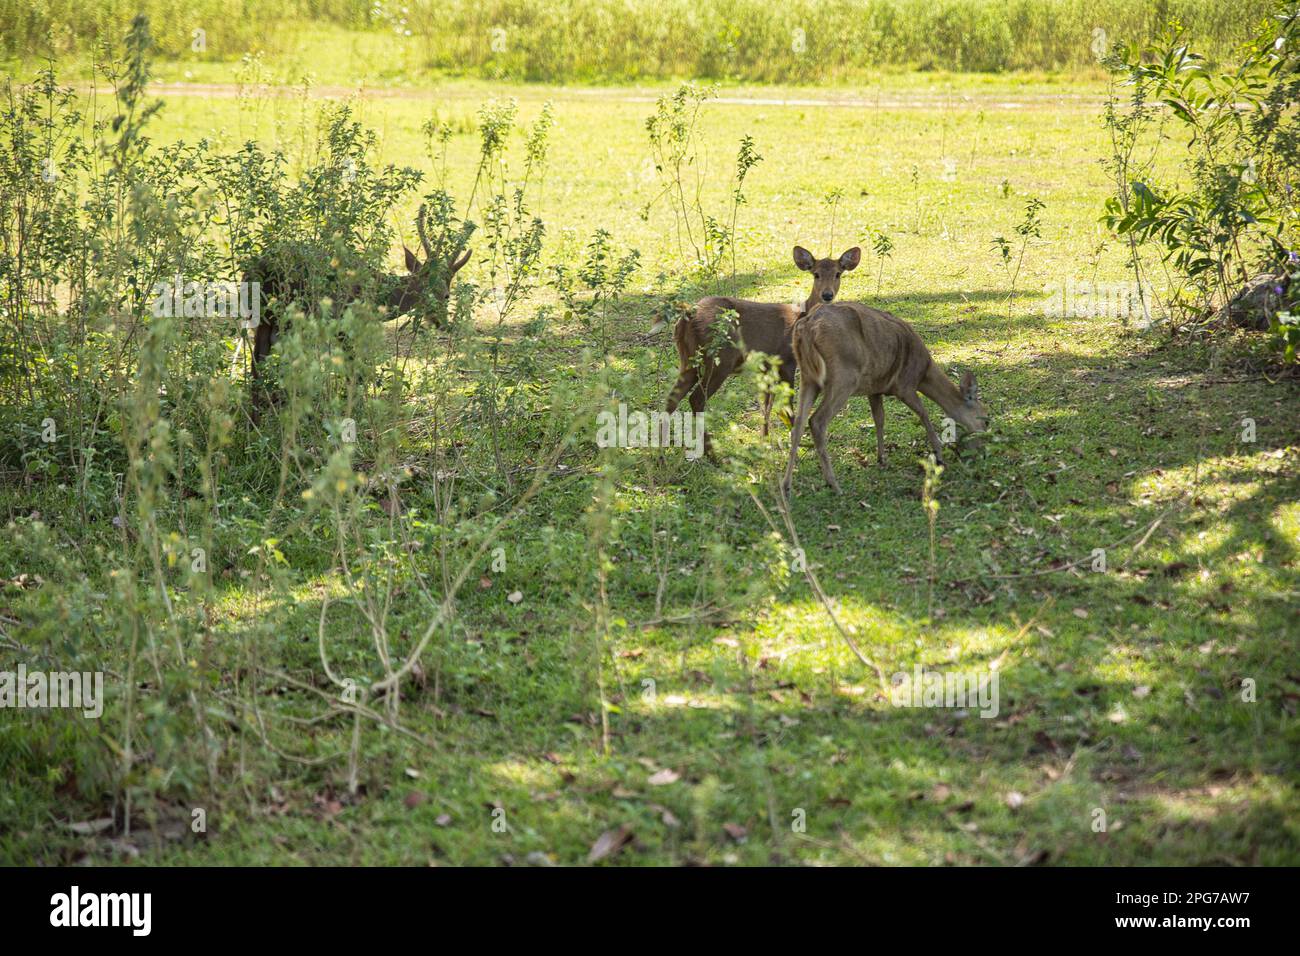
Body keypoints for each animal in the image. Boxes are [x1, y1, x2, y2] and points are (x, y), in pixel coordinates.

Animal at [244, 204, 471, 407]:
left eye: (446, 294)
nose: (441, 322)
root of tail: (252, 271)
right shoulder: (342, 322)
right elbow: (354, 372)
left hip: (265, 320)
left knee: (257, 367)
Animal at [664, 246, 861, 454]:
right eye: (816, 274)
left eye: (838, 273)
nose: (827, 295)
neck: (800, 316)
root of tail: (686, 317)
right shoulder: (786, 360)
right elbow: (787, 407)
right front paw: (797, 443)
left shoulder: (767, 366)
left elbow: (766, 404)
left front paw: (764, 442)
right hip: (720, 359)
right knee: (696, 399)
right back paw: (712, 453)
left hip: (688, 359)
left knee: (672, 399)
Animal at [781, 300, 990, 497]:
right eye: (986, 420)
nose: (982, 452)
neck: (924, 373)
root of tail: (807, 327)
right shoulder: (905, 384)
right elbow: (923, 414)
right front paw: (939, 456)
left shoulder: (875, 388)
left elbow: (879, 419)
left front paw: (882, 459)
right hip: (844, 376)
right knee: (817, 421)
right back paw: (834, 485)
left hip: (808, 377)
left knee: (798, 424)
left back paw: (786, 486)